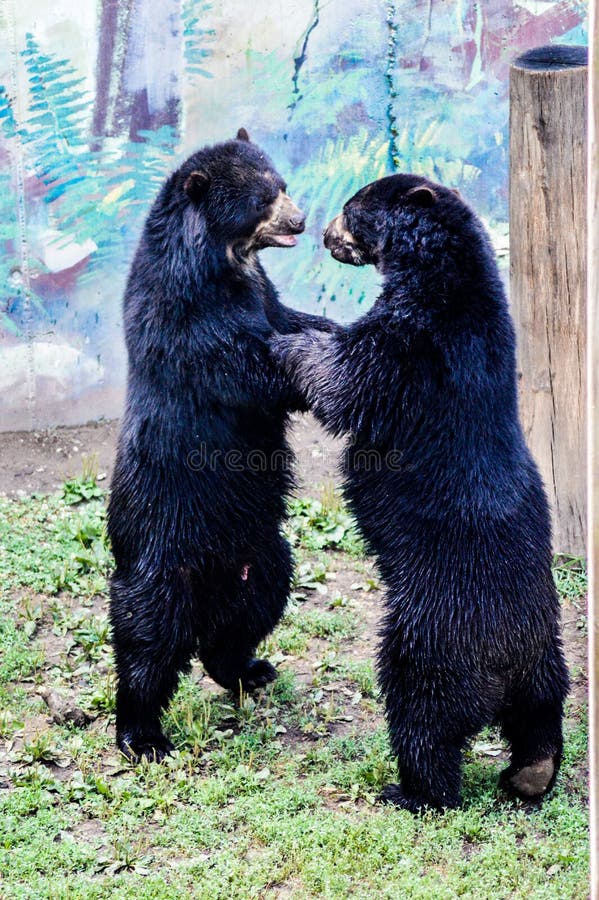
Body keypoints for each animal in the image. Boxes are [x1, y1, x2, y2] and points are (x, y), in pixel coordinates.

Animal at [107, 129, 332, 762]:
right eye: (261, 200)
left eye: (281, 184)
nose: (301, 219)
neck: (226, 261)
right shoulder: (186, 317)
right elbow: (245, 367)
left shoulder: (261, 292)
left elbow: (287, 316)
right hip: (161, 554)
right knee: (147, 640)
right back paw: (142, 733)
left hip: (263, 554)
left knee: (246, 618)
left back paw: (250, 668)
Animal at [271, 173, 570, 812]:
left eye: (352, 209)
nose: (324, 234)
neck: (443, 277)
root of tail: (506, 663)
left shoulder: (416, 346)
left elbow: (347, 379)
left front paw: (287, 341)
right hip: (545, 658)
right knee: (539, 715)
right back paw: (530, 772)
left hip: (430, 636)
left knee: (421, 715)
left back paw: (409, 790)